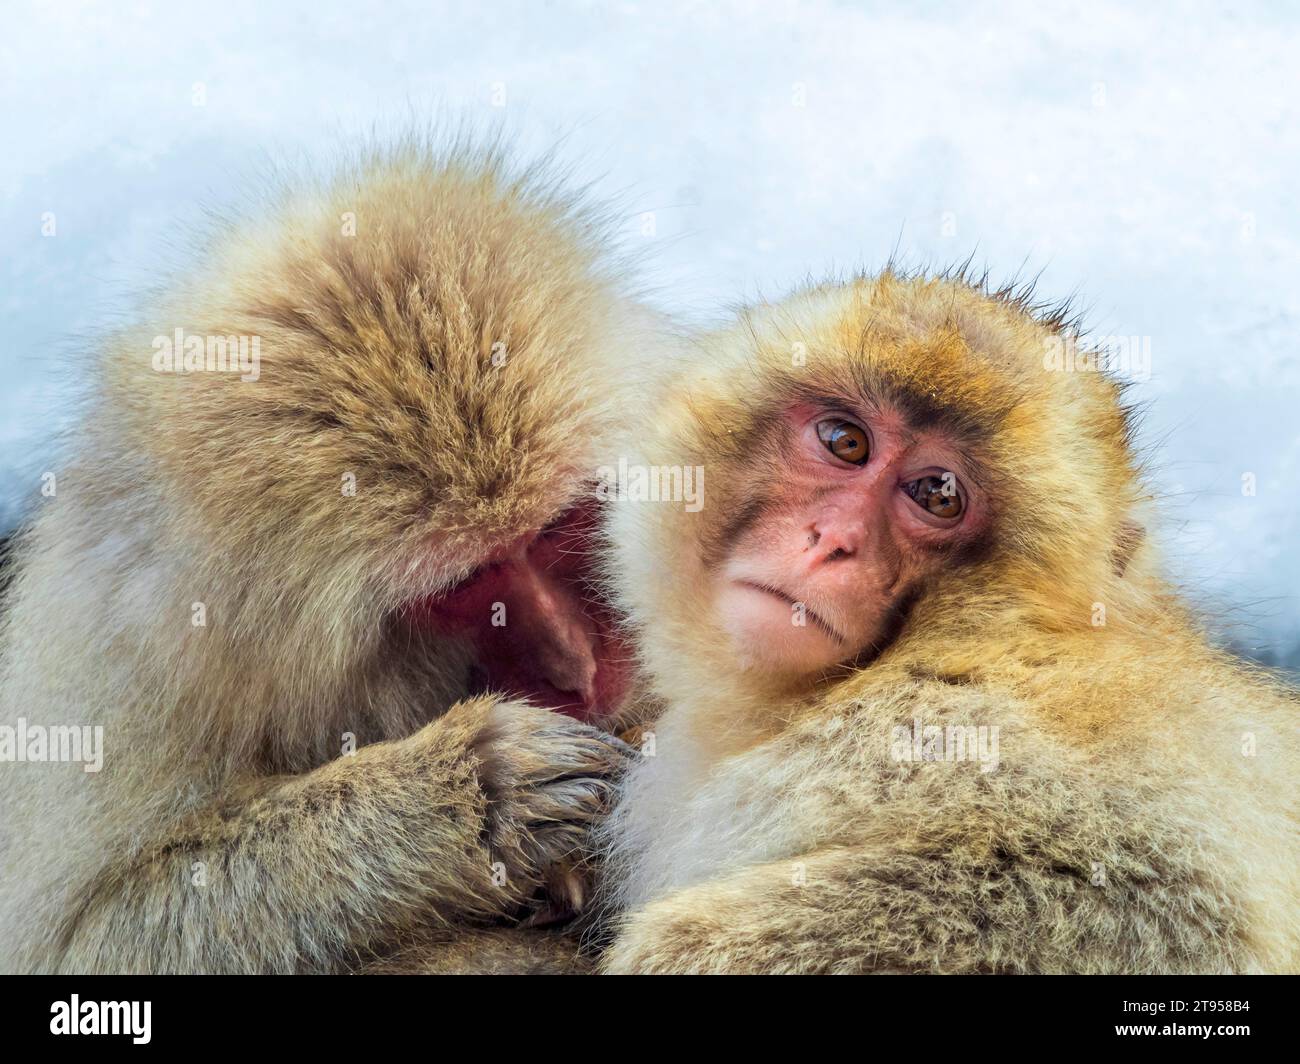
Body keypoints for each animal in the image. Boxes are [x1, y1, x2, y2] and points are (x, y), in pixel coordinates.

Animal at [0, 134, 665, 974]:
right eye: (467, 583)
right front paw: (477, 795)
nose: (578, 669)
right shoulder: (132, 662)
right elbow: (95, 935)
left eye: (553, 529)